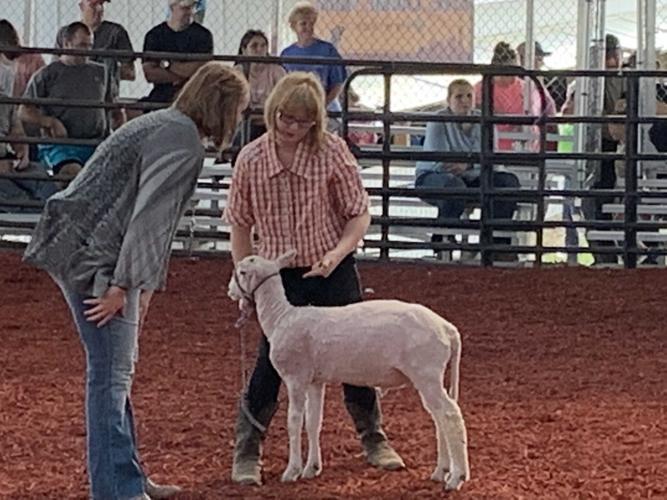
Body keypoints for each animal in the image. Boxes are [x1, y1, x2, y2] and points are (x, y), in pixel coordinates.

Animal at [228, 250, 470, 491]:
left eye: (241, 271)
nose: (230, 291)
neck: (280, 316)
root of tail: (448, 329)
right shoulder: (315, 381)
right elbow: (313, 421)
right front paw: (312, 468)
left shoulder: (296, 378)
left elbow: (294, 422)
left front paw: (292, 471)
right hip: (429, 376)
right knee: (440, 418)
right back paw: (441, 472)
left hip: (426, 372)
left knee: (450, 415)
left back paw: (456, 477)